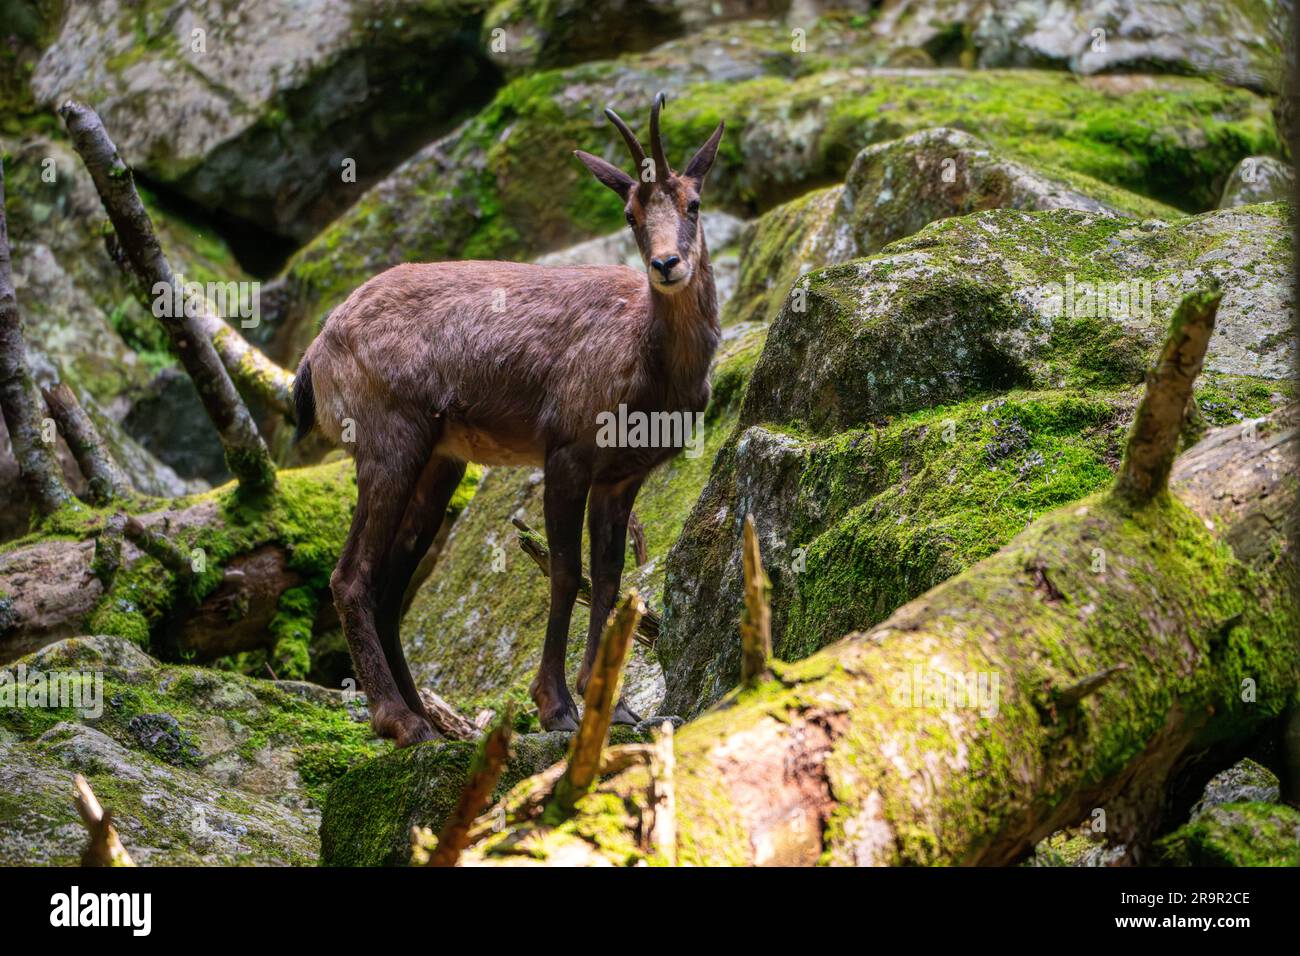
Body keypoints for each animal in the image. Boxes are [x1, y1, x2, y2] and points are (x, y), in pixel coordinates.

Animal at [295, 94, 725, 745]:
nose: (666, 263)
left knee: (392, 586)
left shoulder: (622, 474)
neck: (644, 358)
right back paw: (400, 720)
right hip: (389, 441)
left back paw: (431, 718)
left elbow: (609, 577)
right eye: (630, 213)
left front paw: (616, 704)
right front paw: (556, 706)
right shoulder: (567, 451)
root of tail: (317, 352)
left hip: (440, 462)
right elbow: (566, 571)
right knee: (352, 576)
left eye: (693, 203)